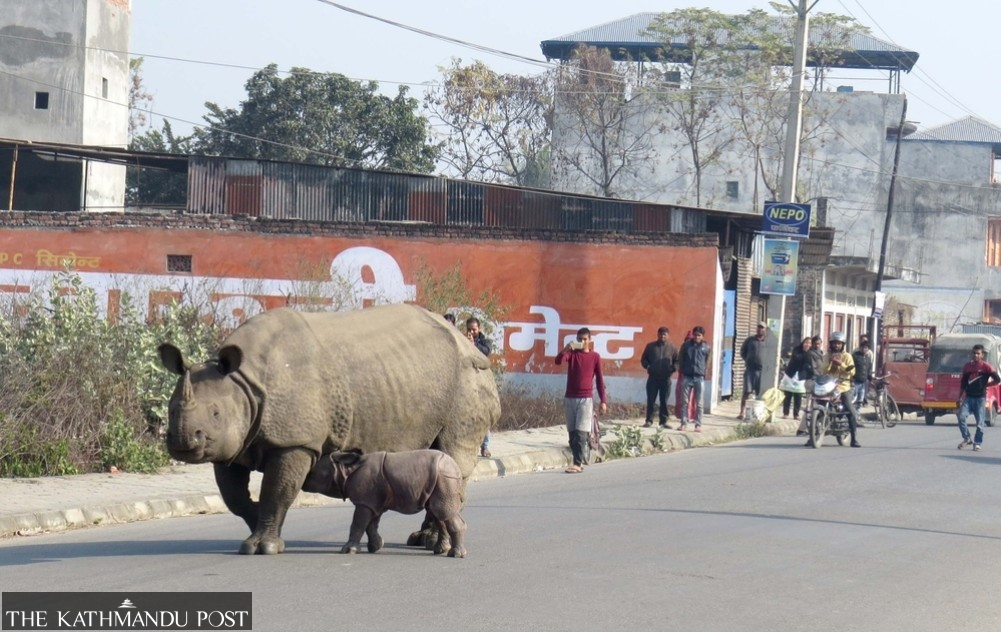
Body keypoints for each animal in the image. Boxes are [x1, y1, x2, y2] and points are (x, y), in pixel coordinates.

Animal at [302, 449, 467, 557]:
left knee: (442, 511)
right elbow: (370, 525)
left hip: (444, 477)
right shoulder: (373, 502)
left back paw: (455, 555)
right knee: (437, 512)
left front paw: (348, 551)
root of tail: (456, 467)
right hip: (440, 479)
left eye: (312, 473)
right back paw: (441, 551)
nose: (302, 483)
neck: (344, 469)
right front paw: (375, 546)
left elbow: (358, 524)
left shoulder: (365, 502)